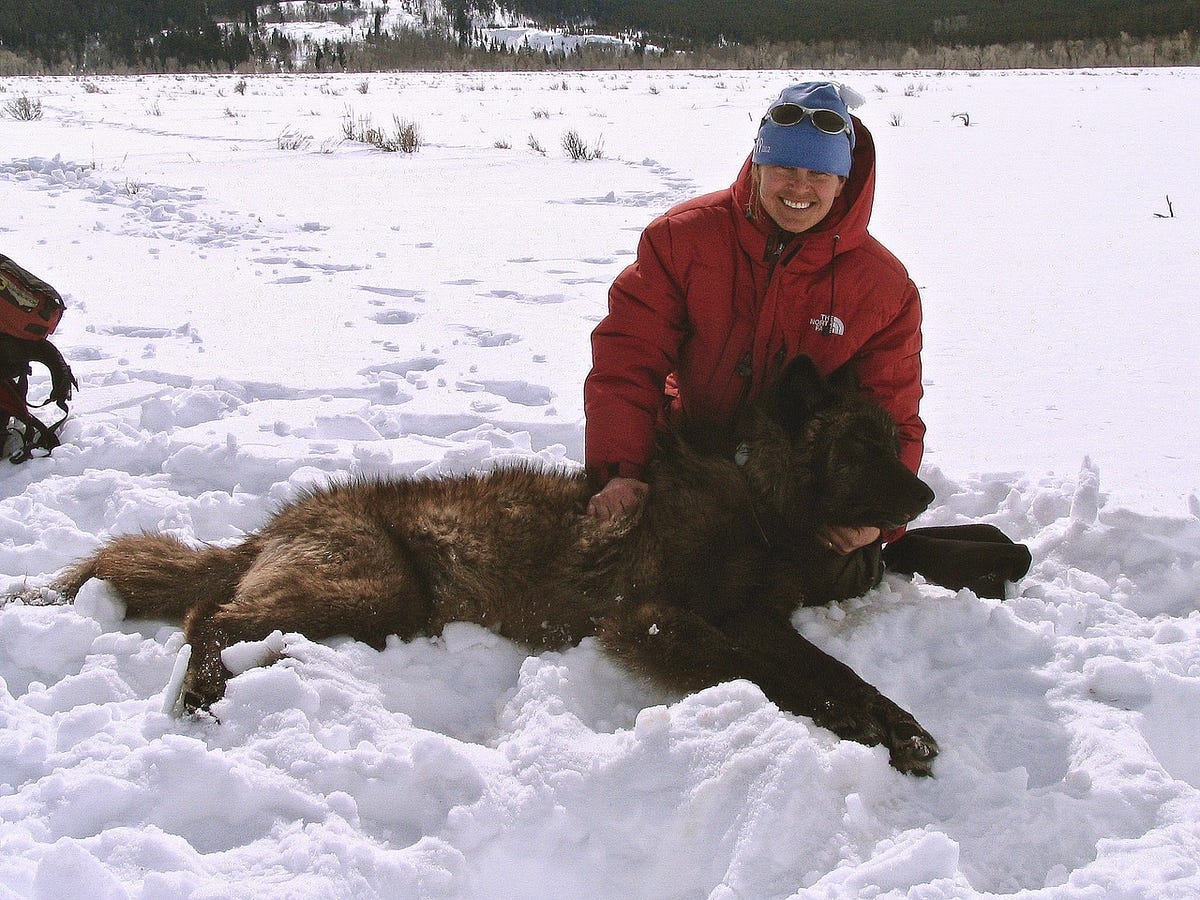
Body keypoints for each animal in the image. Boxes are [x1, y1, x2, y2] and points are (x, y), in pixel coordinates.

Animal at [56, 356, 939, 775]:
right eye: (861, 446)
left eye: (893, 437)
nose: (926, 493)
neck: (757, 499)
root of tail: (281, 520)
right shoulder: (650, 617)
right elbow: (767, 675)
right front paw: (862, 730)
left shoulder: (752, 615)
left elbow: (833, 672)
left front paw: (898, 727)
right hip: (372, 586)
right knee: (210, 616)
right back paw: (202, 693)